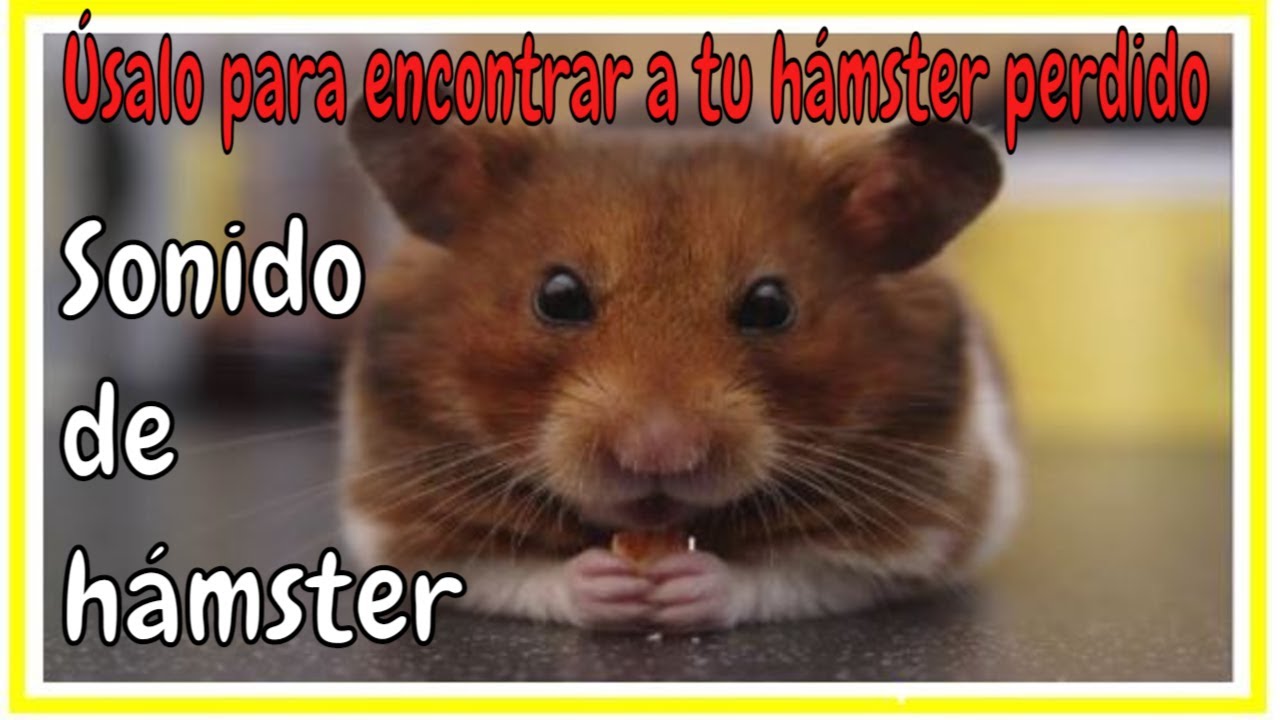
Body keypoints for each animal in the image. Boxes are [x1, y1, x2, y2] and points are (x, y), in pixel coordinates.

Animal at [338, 111, 1021, 631]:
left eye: (771, 305)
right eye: (558, 295)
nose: (659, 453)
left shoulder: (919, 530)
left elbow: (793, 573)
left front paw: (686, 583)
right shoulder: (397, 522)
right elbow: (511, 573)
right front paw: (606, 584)